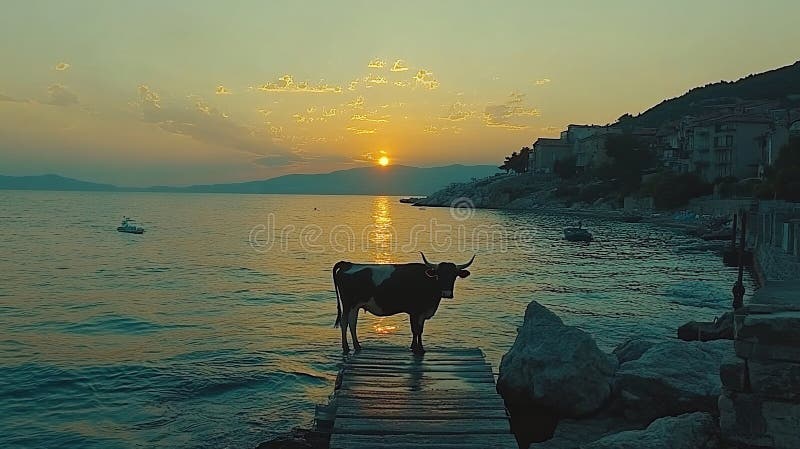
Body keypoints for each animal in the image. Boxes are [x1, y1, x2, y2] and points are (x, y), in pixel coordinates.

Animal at [332, 252, 474, 354]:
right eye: (439, 275)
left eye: (454, 275)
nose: (446, 293)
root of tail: (348, 264)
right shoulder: (415, 311)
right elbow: (416, 329)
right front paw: (417, 348)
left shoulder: (422, 313)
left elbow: (419, 330)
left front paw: (417, 347)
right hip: (349, 304)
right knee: (345, 323)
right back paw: (347, 347)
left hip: (355, 306)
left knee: (351, 323)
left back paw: (356, 346)